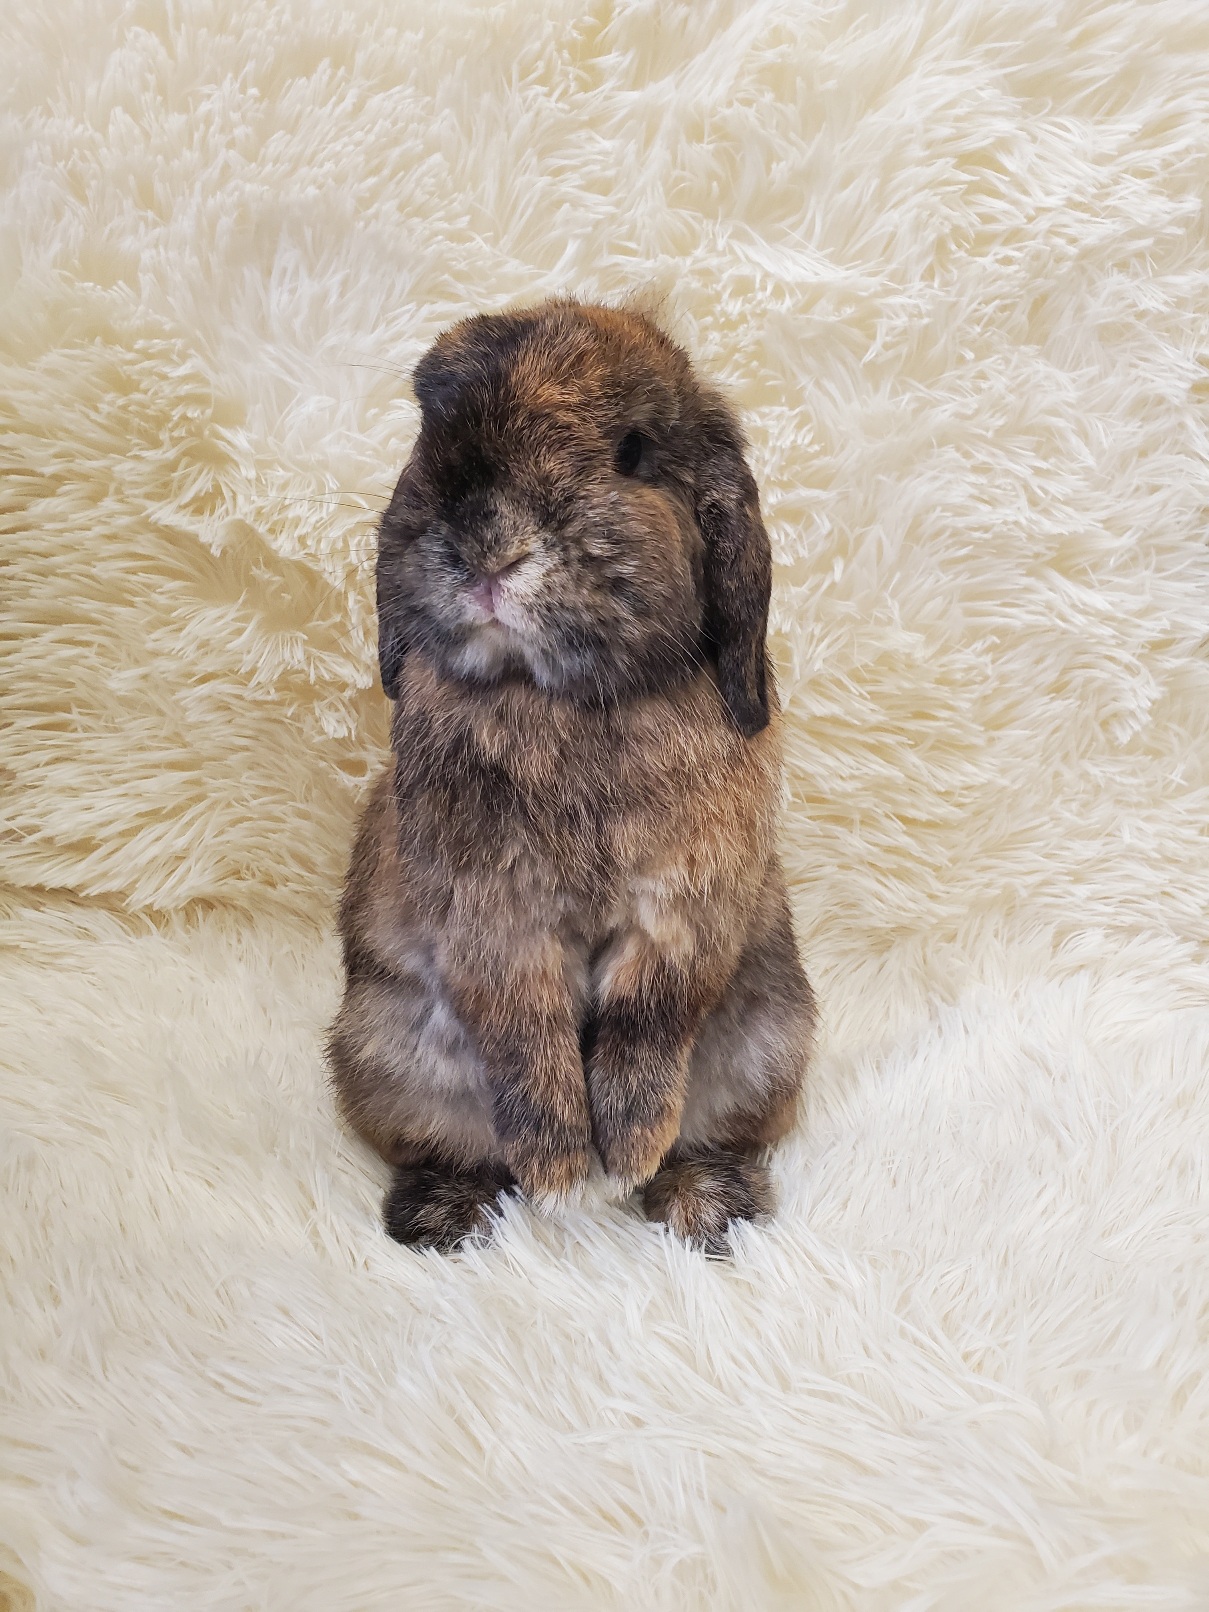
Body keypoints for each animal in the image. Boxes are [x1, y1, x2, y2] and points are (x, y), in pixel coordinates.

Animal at [328, 299, 815, 1252]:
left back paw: (707, 1208)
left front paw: (623, 1154)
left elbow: (643, 1026)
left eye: (633, 452)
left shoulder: (682, 911)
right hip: (387, 1055)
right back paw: (444, 1220)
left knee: (719, 1135)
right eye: (429, 433)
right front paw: (558, 1170)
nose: (486, 547)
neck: (564, 701)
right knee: (445, 1143)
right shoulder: (492, 919)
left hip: (768, 1045)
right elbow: (528, 1038)